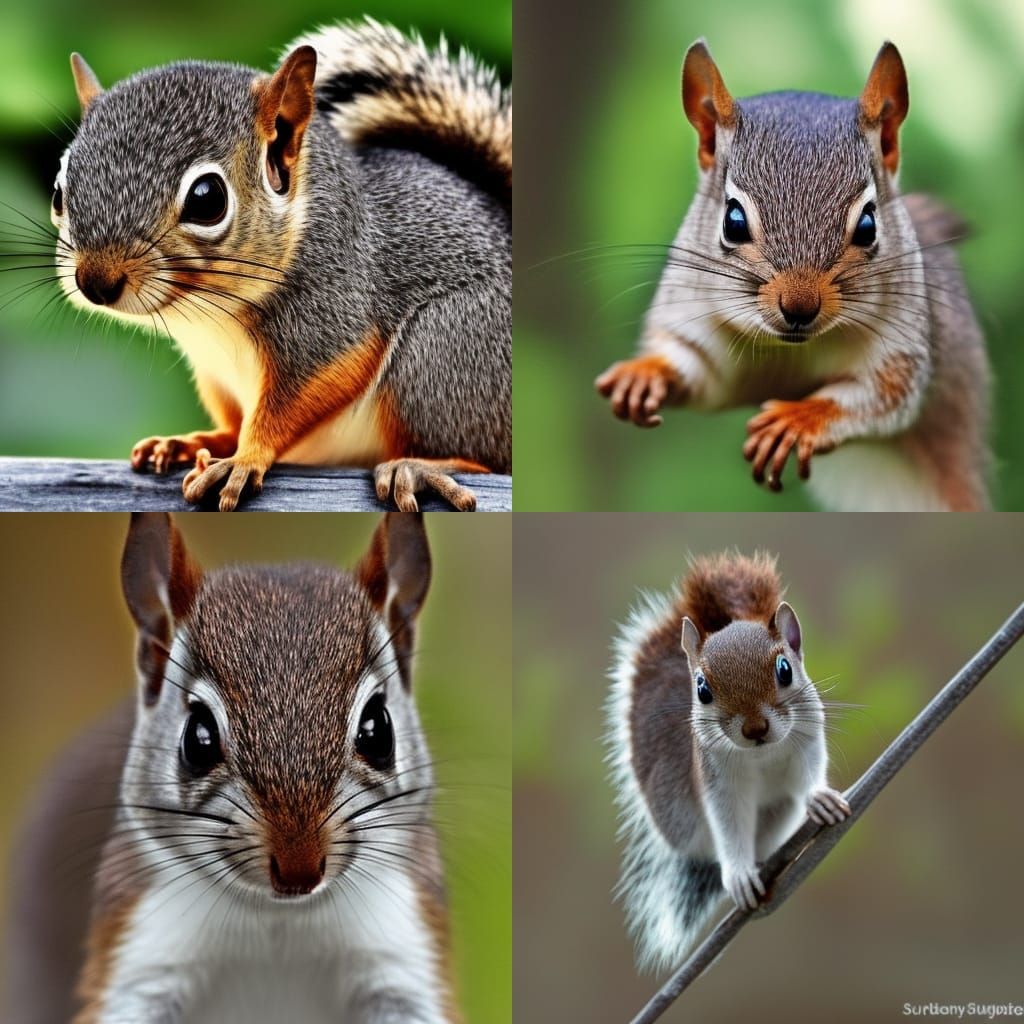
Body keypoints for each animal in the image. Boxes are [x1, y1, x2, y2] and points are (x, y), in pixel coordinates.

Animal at [11, 511, 459, 1023]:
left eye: (378, 730)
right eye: (198, 739)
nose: (299, 869)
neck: (278, 917)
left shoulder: (400, 951)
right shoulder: (144, 953)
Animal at [56, 20, 511, 511]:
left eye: (207, 200)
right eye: (59, 191)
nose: (95, 282)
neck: (208, 314)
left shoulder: (335, 314)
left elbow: (300, 396)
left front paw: (244, 459)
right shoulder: (215, 372)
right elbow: (234, 423)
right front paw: (194, 443)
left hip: (443, 352)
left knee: (487, 458)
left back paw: (422, 467)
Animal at [595, 40, 991, 511]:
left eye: (868, 225)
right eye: (732, 220)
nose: (799, 307)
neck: (787, 351)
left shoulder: (900, 347)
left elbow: (884, 399)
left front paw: (801, 418)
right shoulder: (697, 321)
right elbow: (694, 370)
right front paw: (646, 373)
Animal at [606, 551, 850, 972]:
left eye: (785, 669)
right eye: (701, 688)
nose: (755, 729)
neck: (762, 753)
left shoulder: (807, 740)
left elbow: (808, 773)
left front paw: (819, 798)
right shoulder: (718, 780)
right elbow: (729, 824)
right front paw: (738, 874)